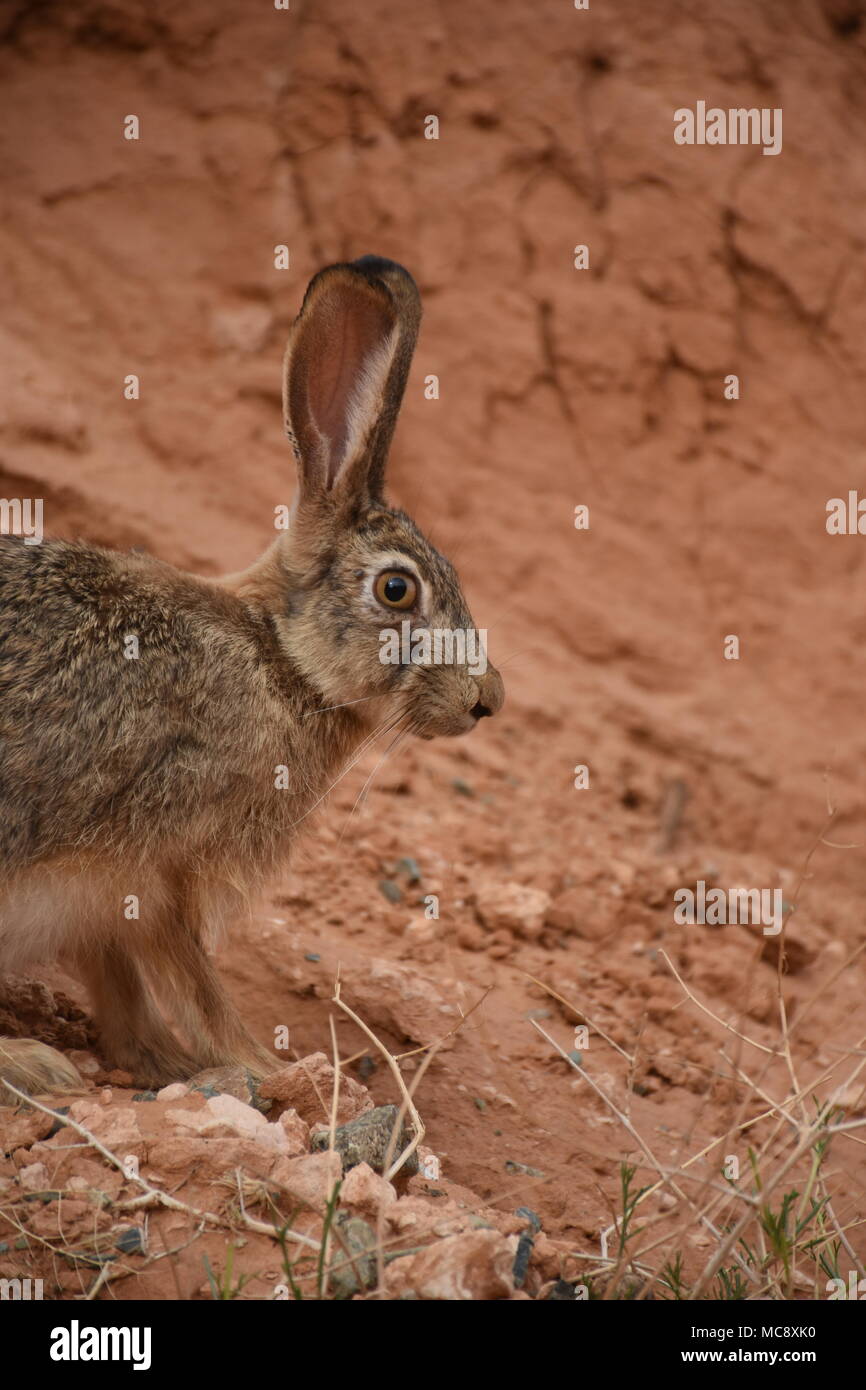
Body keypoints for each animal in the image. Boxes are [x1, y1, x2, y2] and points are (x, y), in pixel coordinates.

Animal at [0, 255, 504, 1097]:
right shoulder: (159, 866)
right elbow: (194, 980)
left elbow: (123, 987)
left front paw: (158, 1060)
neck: (282, 663)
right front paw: (267, 1069)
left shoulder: (105, 905)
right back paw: (31, 1063)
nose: (486, 699)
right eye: (397, 589)